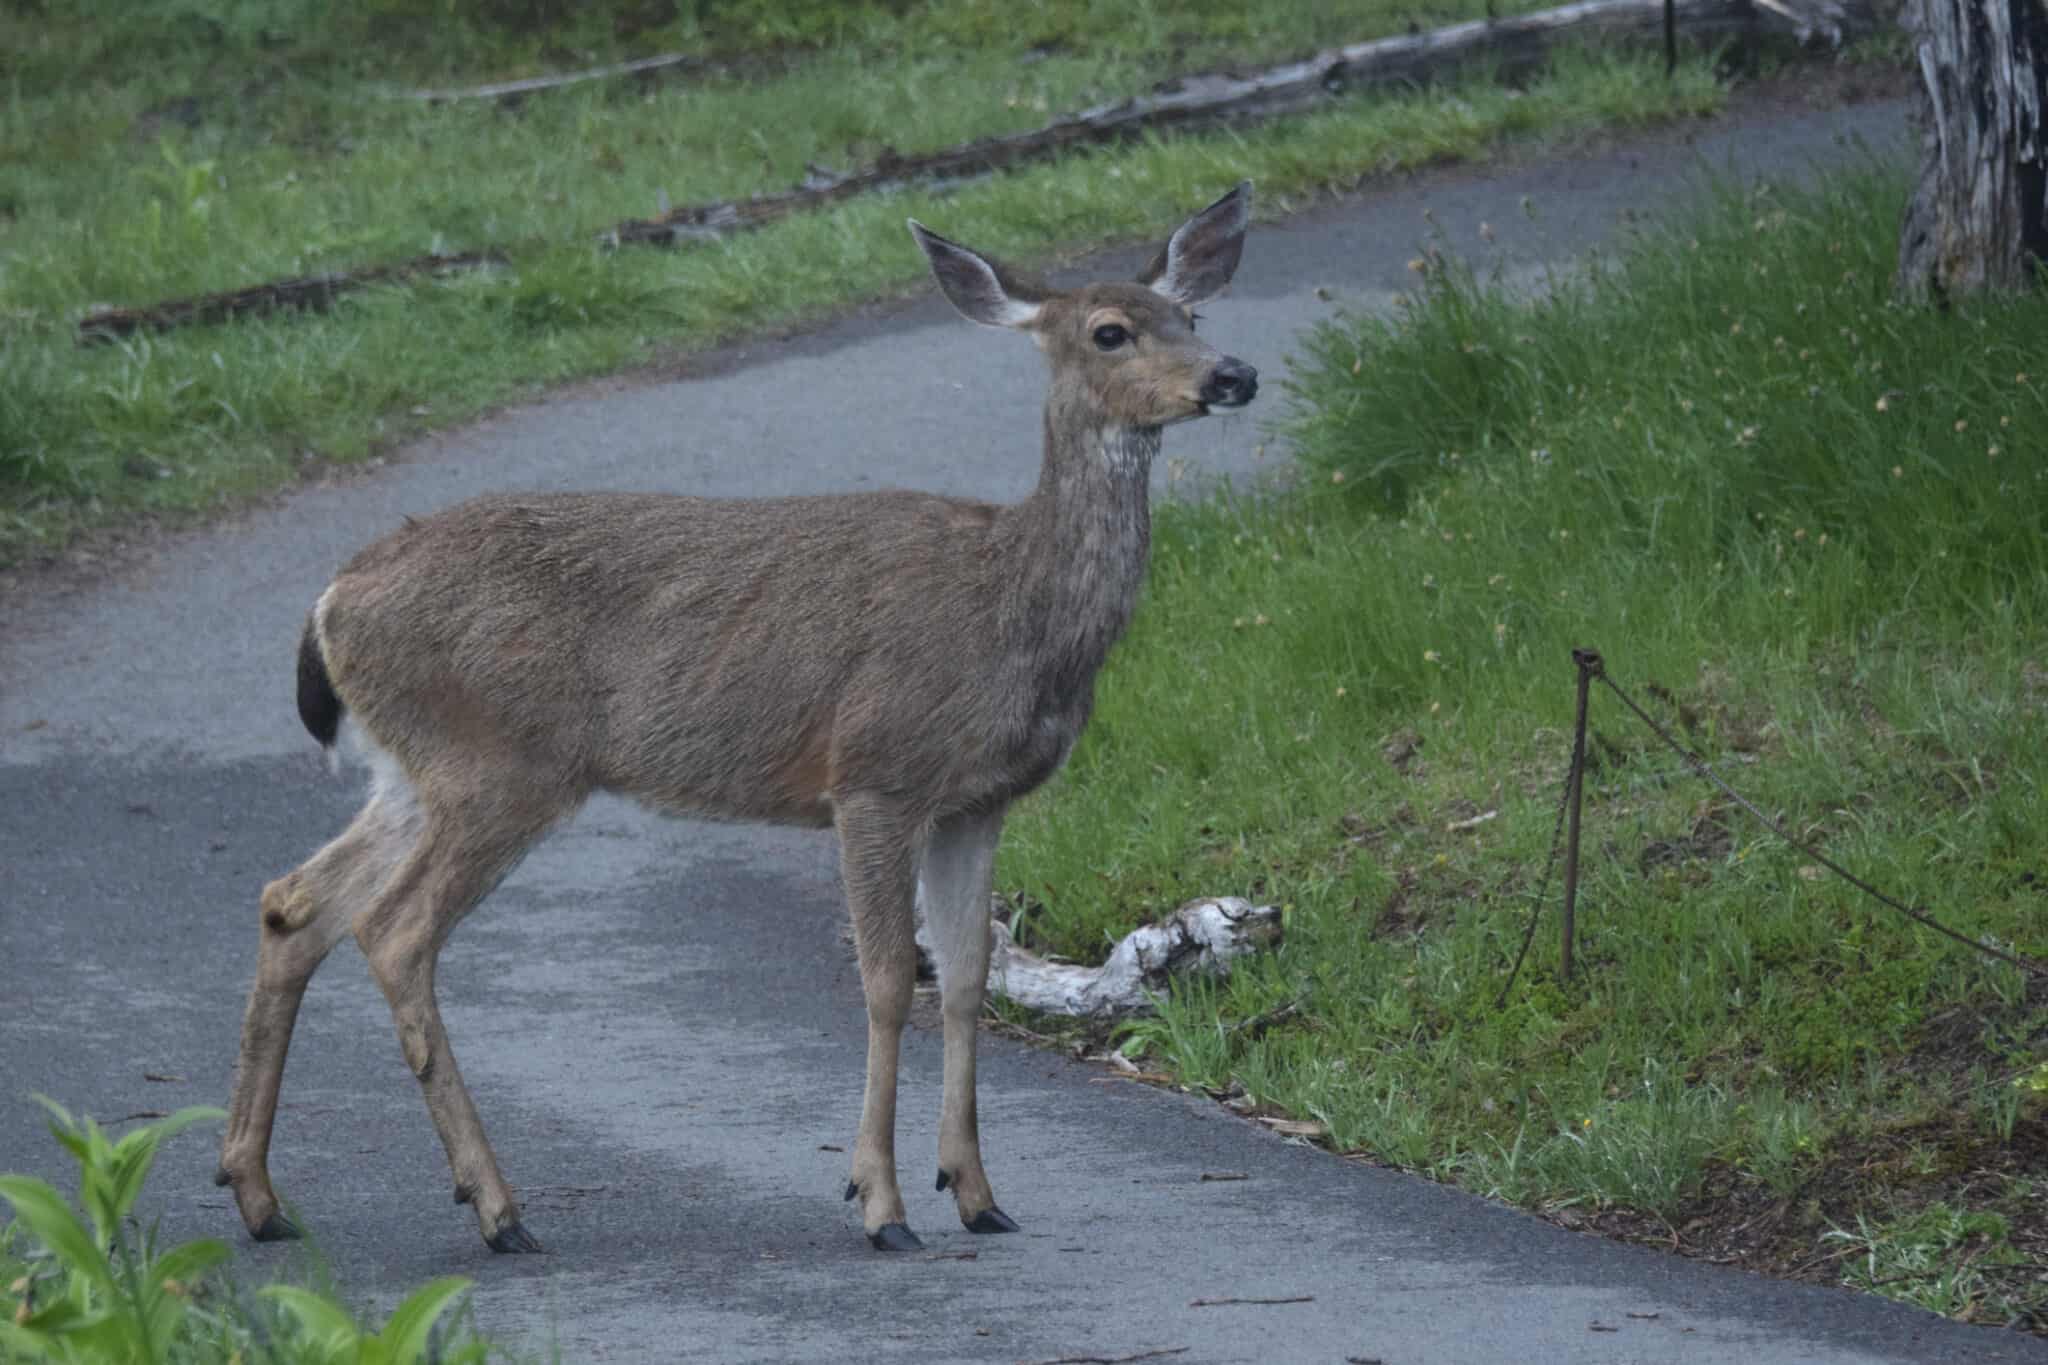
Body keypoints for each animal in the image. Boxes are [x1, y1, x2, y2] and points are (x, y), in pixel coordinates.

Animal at [214, 183, 1258, 1255]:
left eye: (1193, 314)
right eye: (1110, 331)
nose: (1235, 374)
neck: (1015, 605)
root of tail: (334, 598)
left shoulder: (977, 800)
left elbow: (966, 978)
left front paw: (976, 1191)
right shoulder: (874, 771)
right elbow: (891, 981)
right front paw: (879, 1203)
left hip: (414, 769)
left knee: (295, 901)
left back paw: (260, 1194)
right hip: (497, 762)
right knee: (392, 930)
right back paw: (498, 1209)